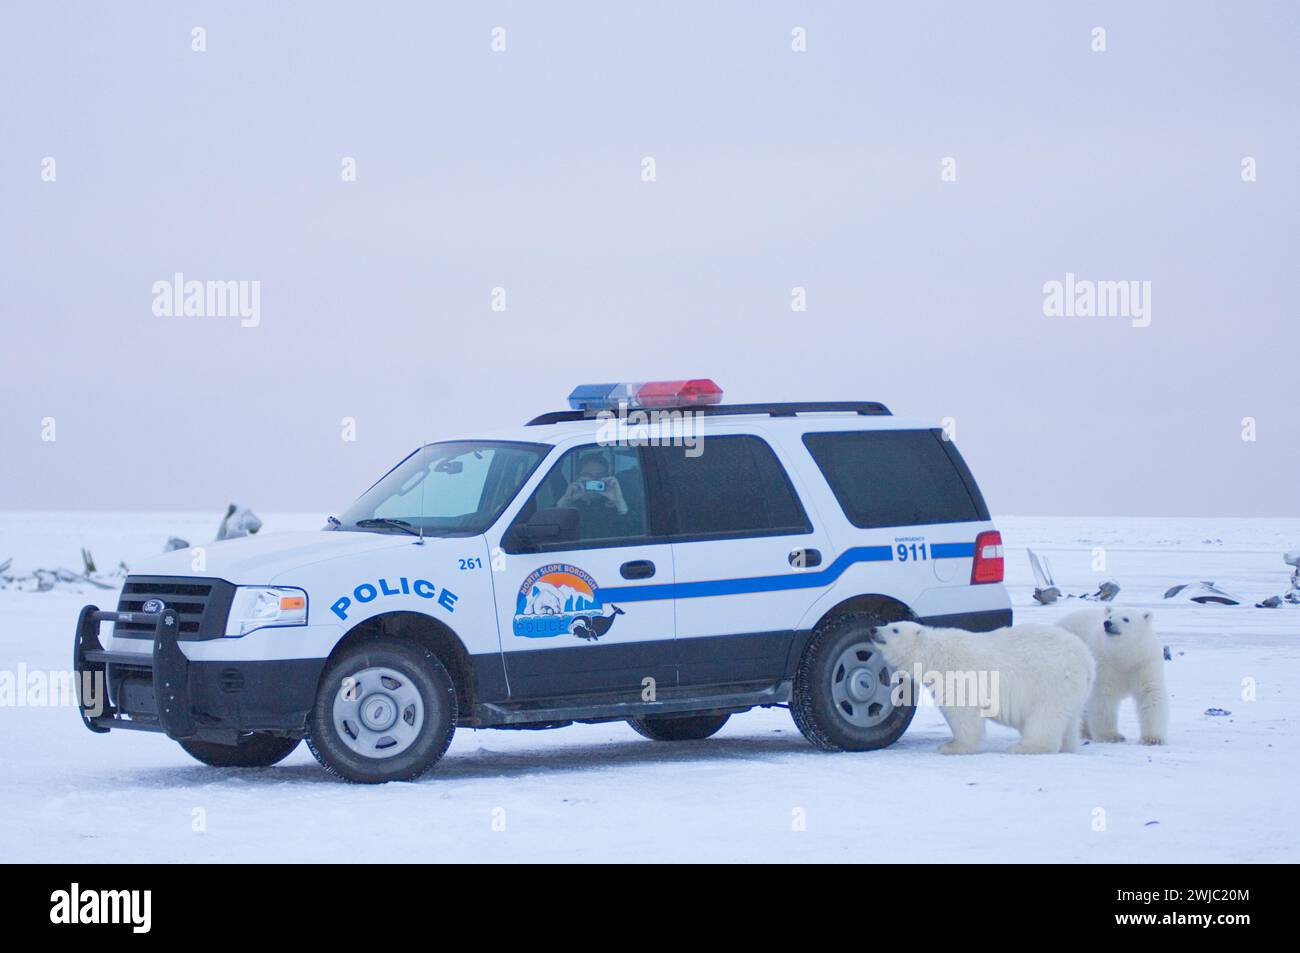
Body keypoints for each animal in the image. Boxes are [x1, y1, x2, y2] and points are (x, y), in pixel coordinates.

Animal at [870, 621, 1095, 755]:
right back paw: (1067, 746)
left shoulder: (958, 675)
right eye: (888, 624)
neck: (936, 653)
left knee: (1046, 716)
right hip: (1073, 691)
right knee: (1069, 719)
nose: (873, 629)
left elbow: (963, 714)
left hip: (1053, 681)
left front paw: (952, 746)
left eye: (894, 629)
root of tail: (1087, 659)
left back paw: (1025, 746)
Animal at [1055, 606, 1168, 745]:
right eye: (1110, 616)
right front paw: (1111, 736)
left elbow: (1150, 693)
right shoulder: (1105, 664)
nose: (1107, 623)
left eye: (1126, 619)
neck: (1125, 658)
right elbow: (1104, 696)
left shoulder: (1144, 663)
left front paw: (1153, 738)